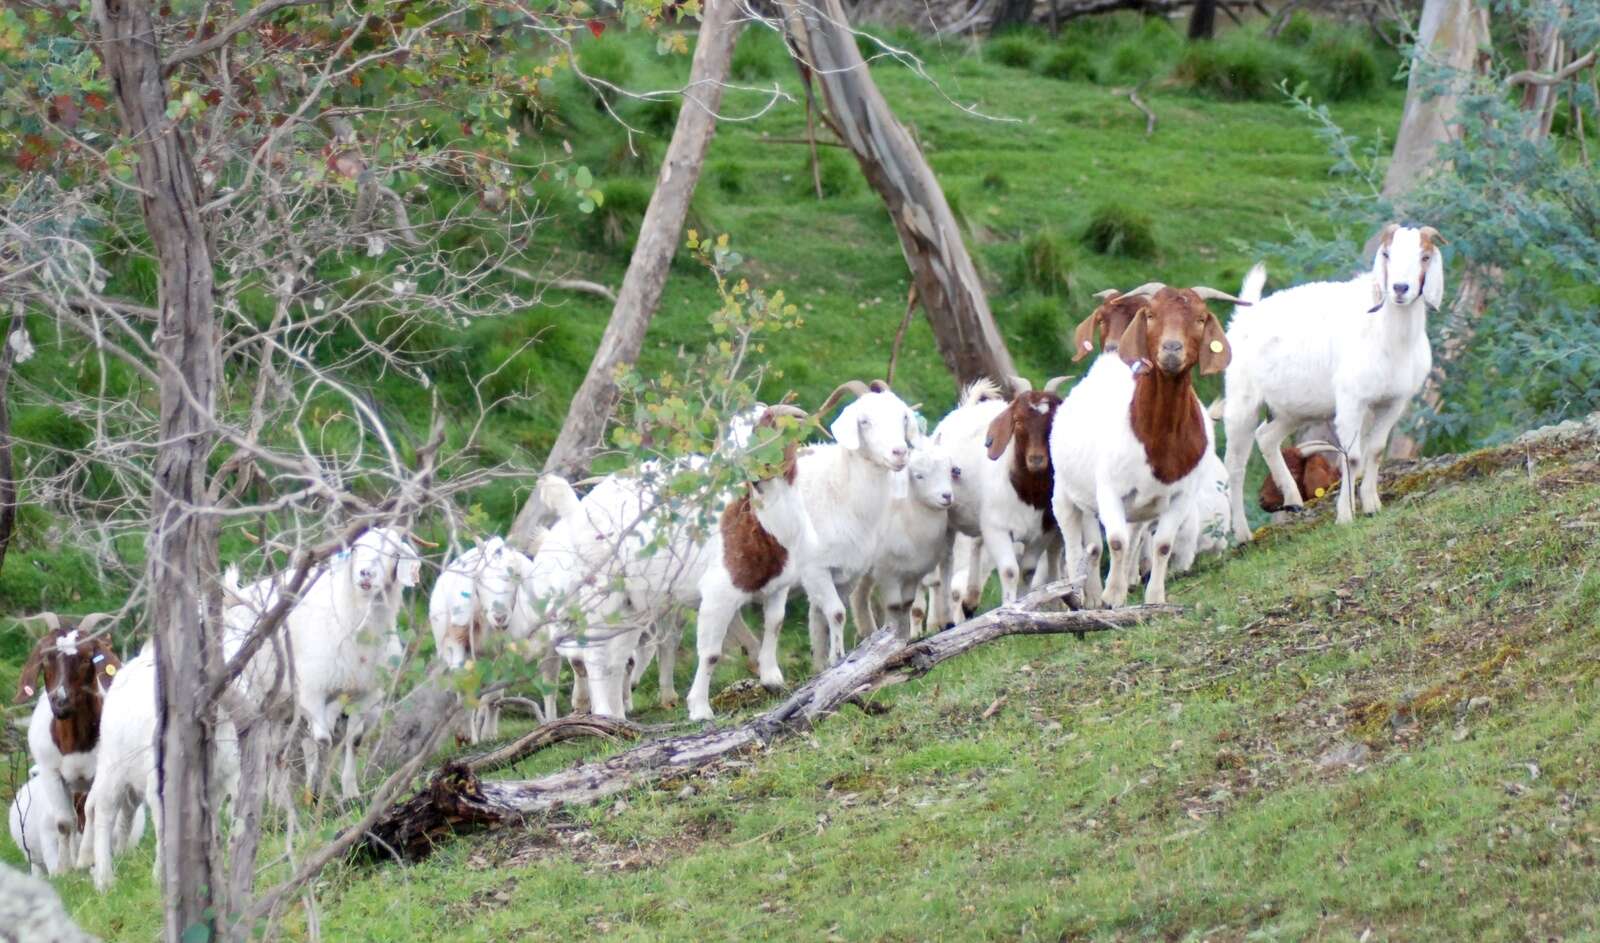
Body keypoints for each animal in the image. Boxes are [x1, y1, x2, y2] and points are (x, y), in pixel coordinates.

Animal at [13, 613, 120, 874]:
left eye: (86, 658)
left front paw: (87, 859)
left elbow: (91, 810)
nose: (60, 701)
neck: (74, 744)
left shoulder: (99, 772)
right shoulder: (51, 772)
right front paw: (64, 868)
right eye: (46, 658)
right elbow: (63, 821)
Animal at [1051, 283, 1244, 607]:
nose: (1171, 349)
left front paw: (1154, 598)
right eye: (1151, 315)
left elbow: (1162, 545)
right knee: (1077, 546)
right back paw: (1082, 597)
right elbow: (1115, 542)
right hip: (1065, 493)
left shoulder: (1180, 496)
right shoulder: (1109, 490)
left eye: (1201, 318)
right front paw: (1111, 598)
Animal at [1221, 224, 1444, 541]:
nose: (1400, 288)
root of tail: (1244, 315)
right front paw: (1346, 515)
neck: (1390, 337)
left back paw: (1293, 500)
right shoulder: (1352, 401)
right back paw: (1242, 534)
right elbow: (1352, 457)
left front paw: (1372, 505)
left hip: (1293, 408)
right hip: (1242, 401)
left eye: (1425, 257)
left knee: (1267, 437)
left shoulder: (1393, 402)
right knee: (1235, 465)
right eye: (1387, 254)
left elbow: (1375, 451)